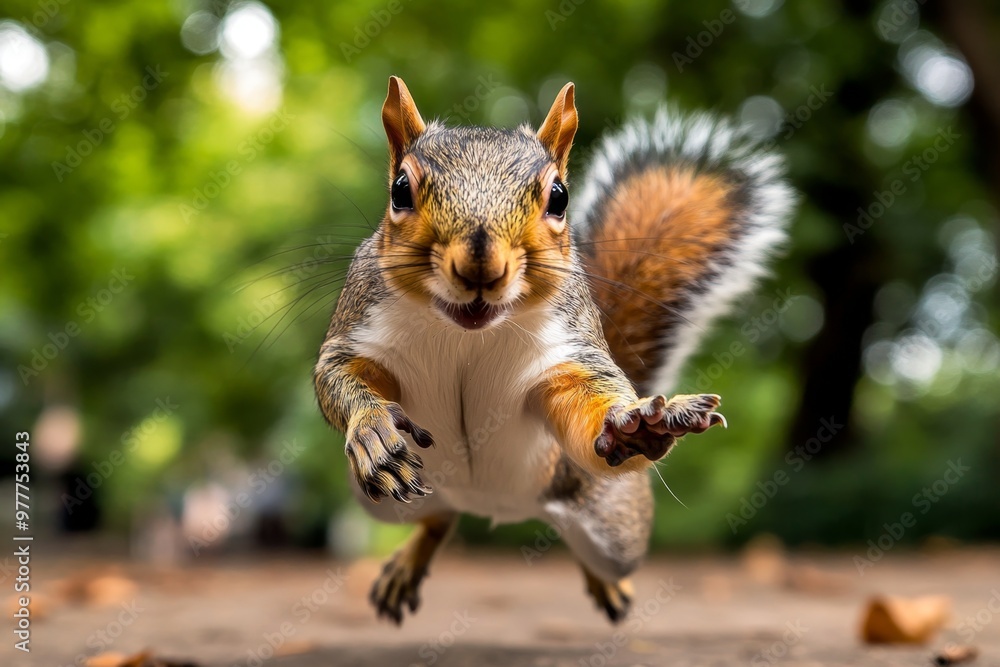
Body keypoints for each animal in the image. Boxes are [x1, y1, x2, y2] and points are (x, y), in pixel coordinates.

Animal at [314, 77, 795, 624]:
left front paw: (635, 426)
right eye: (400, 190)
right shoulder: (358, 332)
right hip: (384, 500)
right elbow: (338, 377)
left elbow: (584, 408)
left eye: (559, 198)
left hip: (611, 522)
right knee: (439, 517)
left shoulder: (567, 357)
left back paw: (608, 572)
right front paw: (372, 429)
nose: (481, 264)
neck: (467, 334)